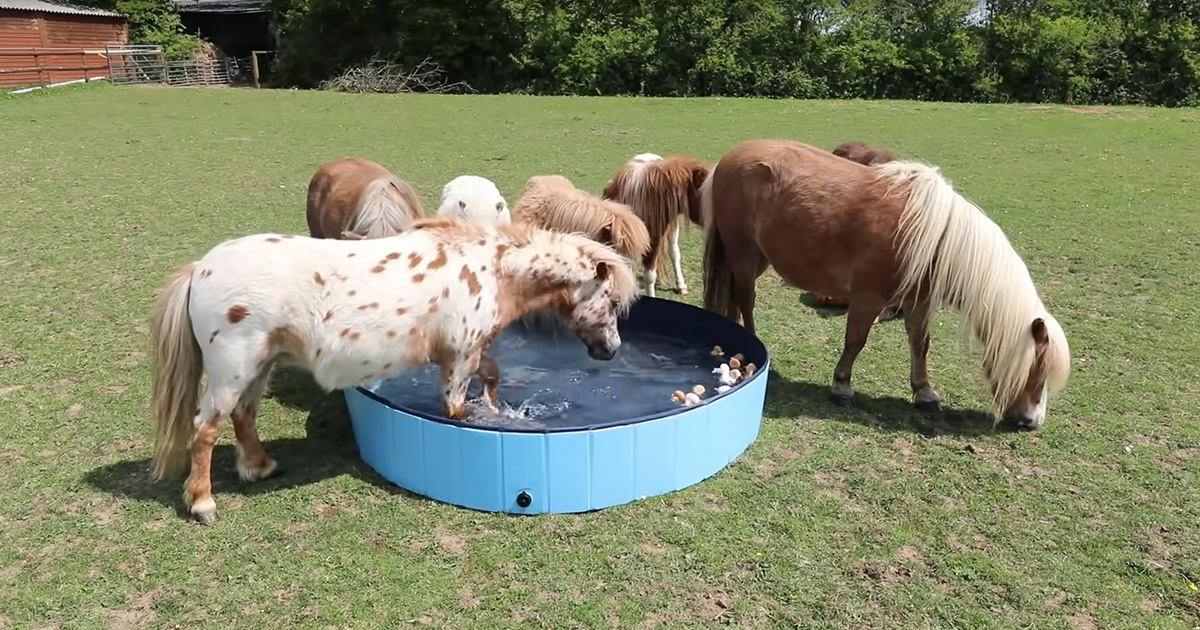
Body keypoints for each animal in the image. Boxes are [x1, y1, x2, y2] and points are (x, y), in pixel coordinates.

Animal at [148, 217, 640, 524]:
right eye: (613, 301)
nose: (611, 351)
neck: (491, 271)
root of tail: (201, 269)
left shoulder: (467, 352)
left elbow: (493, 376)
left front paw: (497, 410)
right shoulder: (459, 357)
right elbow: (455, 410)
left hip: (259, 365)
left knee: (243, 415)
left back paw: (260, 467)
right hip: (233, 368)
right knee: (205, 428)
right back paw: (202, 502)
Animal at [700, 138, 1070, 430]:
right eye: (1037, 372)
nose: (1032, 422)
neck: (931, 236)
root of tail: (729, 159)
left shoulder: (919, 302)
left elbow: (920, 345)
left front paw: (924, 393)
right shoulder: (868, 299)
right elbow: (856, 342)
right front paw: (842, 387)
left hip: (757, 258)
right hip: (744, 254)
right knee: (746, 300)